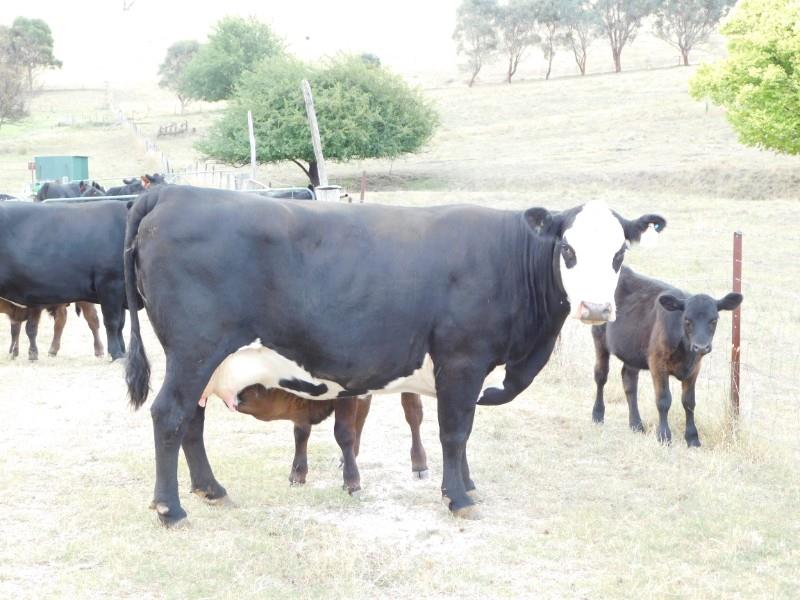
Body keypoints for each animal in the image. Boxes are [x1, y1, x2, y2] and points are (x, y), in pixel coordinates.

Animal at [0, 200, 130, 359]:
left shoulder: (119, 290)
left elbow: (120, 323)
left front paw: (123, 352)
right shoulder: (110, 284)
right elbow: (113, 322)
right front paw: (117, 353)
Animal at [123, 186, 666, 526]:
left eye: (619, 255)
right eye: (568, 250)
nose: (597, 308)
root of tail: (171, 193)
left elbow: (462, 433)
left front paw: (467, 484)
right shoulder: (462, 361)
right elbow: (454, 432)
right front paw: (458, 497)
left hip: (203, 363)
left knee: (191, 420)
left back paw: (210, 490)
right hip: (195, 351)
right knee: (169, 415)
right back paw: (171, 509)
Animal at [590, 266, 743, 446]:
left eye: (714, 320)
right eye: (687, 320)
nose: (701, 346)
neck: (685, 352)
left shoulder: (694, 368)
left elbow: (689, 402)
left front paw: (692, 437)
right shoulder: (657, 363)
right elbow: (664, 400)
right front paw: (664, 436)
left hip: (631, 351)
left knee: (629, 382)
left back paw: (636, 424)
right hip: (599, 338)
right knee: (601, 376)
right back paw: (597, 415)